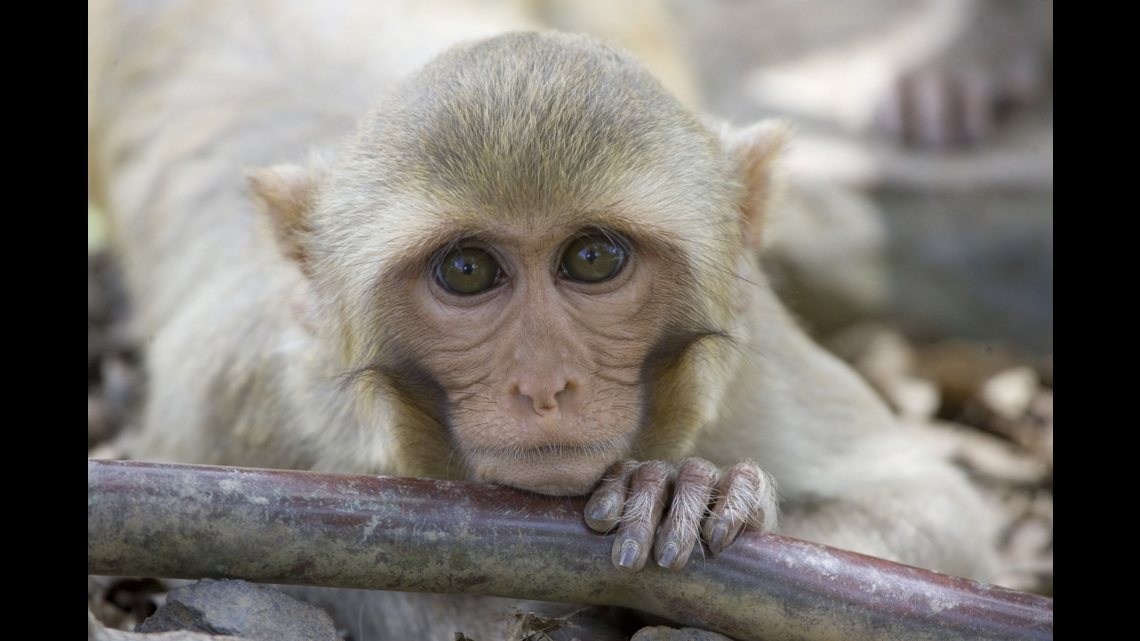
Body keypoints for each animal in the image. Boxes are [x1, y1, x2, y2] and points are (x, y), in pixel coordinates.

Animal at [88, 1, 998, 637]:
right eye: (467, 270)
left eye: (592, 258)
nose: (544, 383)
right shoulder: (231, 400)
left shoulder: (753, 357)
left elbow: (931, 509)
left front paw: (688, 491)